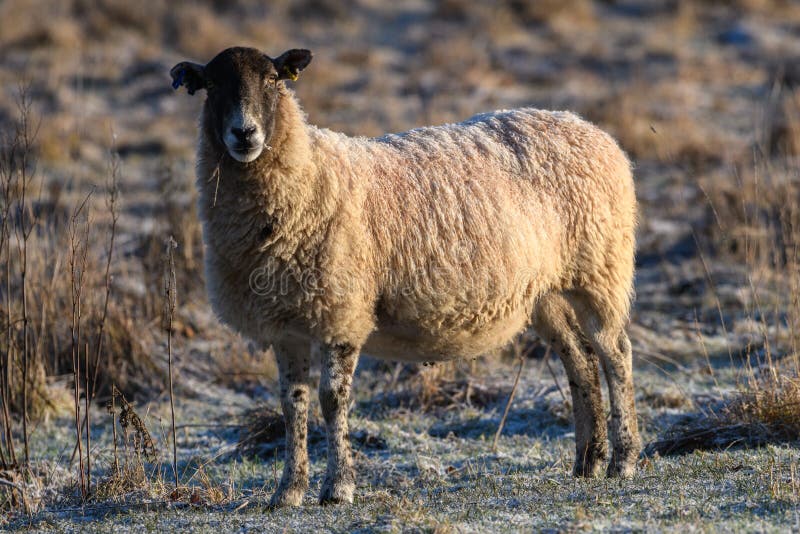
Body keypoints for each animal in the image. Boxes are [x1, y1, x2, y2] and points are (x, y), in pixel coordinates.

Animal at [170, 46, 641, 507]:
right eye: (212, 86)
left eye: (272, 80)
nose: (244, 134)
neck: (307, 174)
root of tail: (590, 129)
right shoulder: (287, 325)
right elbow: (293, 404)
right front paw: (289, 491)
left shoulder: (342, 313)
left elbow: (332, 399)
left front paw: (338, 487)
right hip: (548, 293)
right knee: (580, 360)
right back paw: (588, 461)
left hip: (601, 270)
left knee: (615, 354)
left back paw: (623, 460)